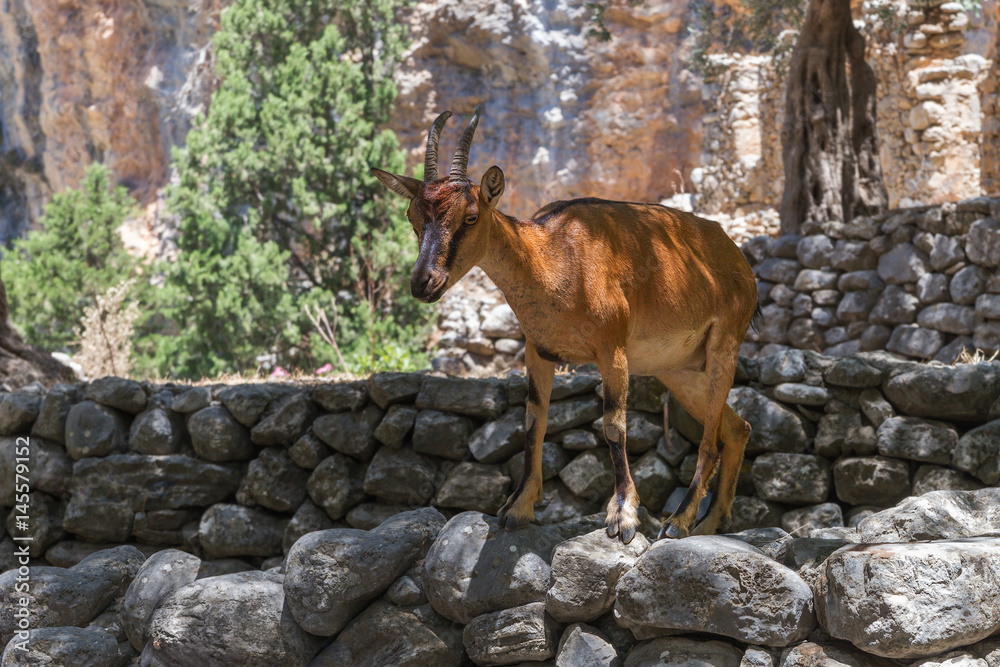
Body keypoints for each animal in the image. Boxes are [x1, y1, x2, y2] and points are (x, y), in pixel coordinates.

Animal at [372, 107, 759, 542]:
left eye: (470, 216)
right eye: (412, 218)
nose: (424, 283)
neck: (555, 258)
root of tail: (735, 256)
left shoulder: (612, 349)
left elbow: (614, 426)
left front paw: (623, 516)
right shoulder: (539, 350)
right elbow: (532, 422)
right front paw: (518, 508)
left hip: (724, 345)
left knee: (710, 437)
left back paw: (679, 521)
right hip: (678, 370)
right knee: (737, 428)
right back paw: (710, 522)